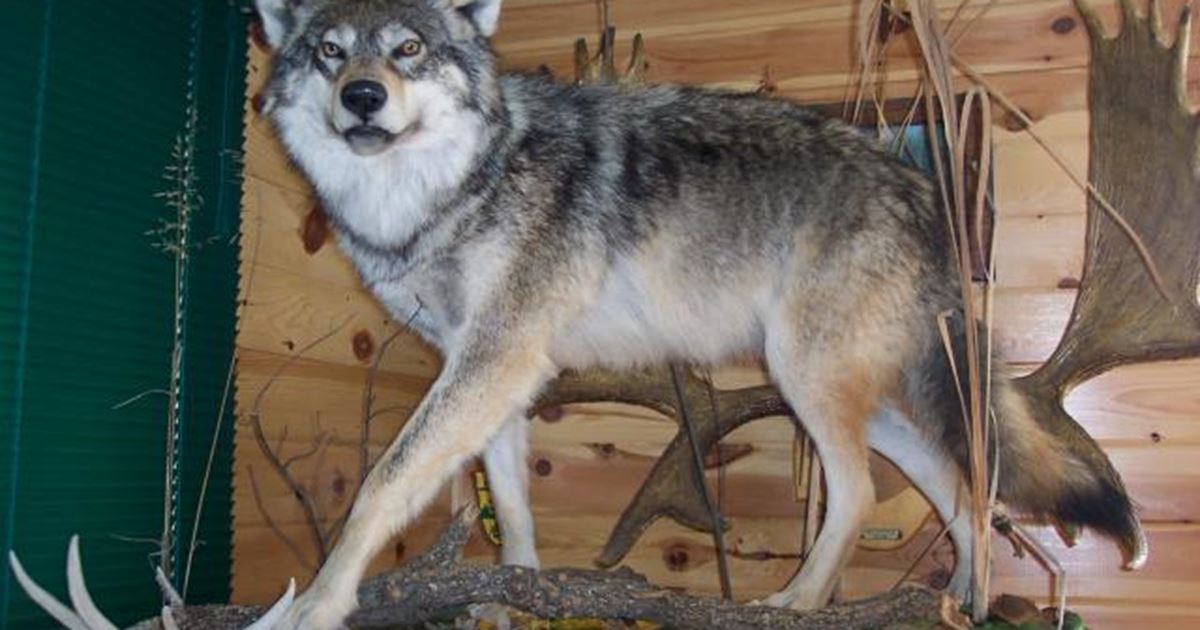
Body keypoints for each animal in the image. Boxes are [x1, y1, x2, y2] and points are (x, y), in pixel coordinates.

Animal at [253, 0, 1145, 626]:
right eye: (330, 52)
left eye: (408, 49)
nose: (362, 96)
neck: (454, 185)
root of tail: (926, 193)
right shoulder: (496, 370)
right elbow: (511, 511)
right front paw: (515, 601)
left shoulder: (497, 355)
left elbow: (380, 483)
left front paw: (317, 605)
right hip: (859, 398)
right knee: (963, 490)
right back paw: (961, 599)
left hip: (805, 379)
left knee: (861, 494)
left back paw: (797, 603)